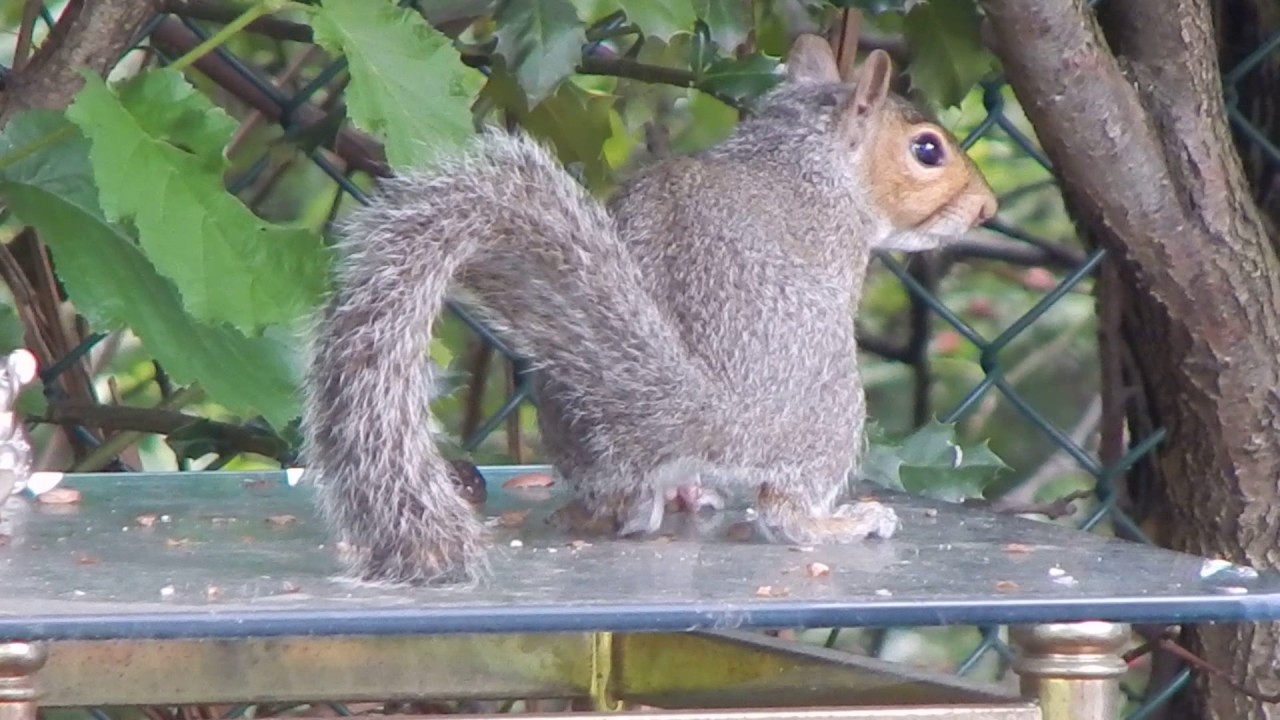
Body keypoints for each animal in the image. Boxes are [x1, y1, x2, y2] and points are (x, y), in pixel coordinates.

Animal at [301, 34, 998, 585]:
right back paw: (841, 522)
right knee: (784, 514)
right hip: (834, 412)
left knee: (630, 506)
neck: (804, 154)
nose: (988, 207)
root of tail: (702, 409)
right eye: (927, 150)